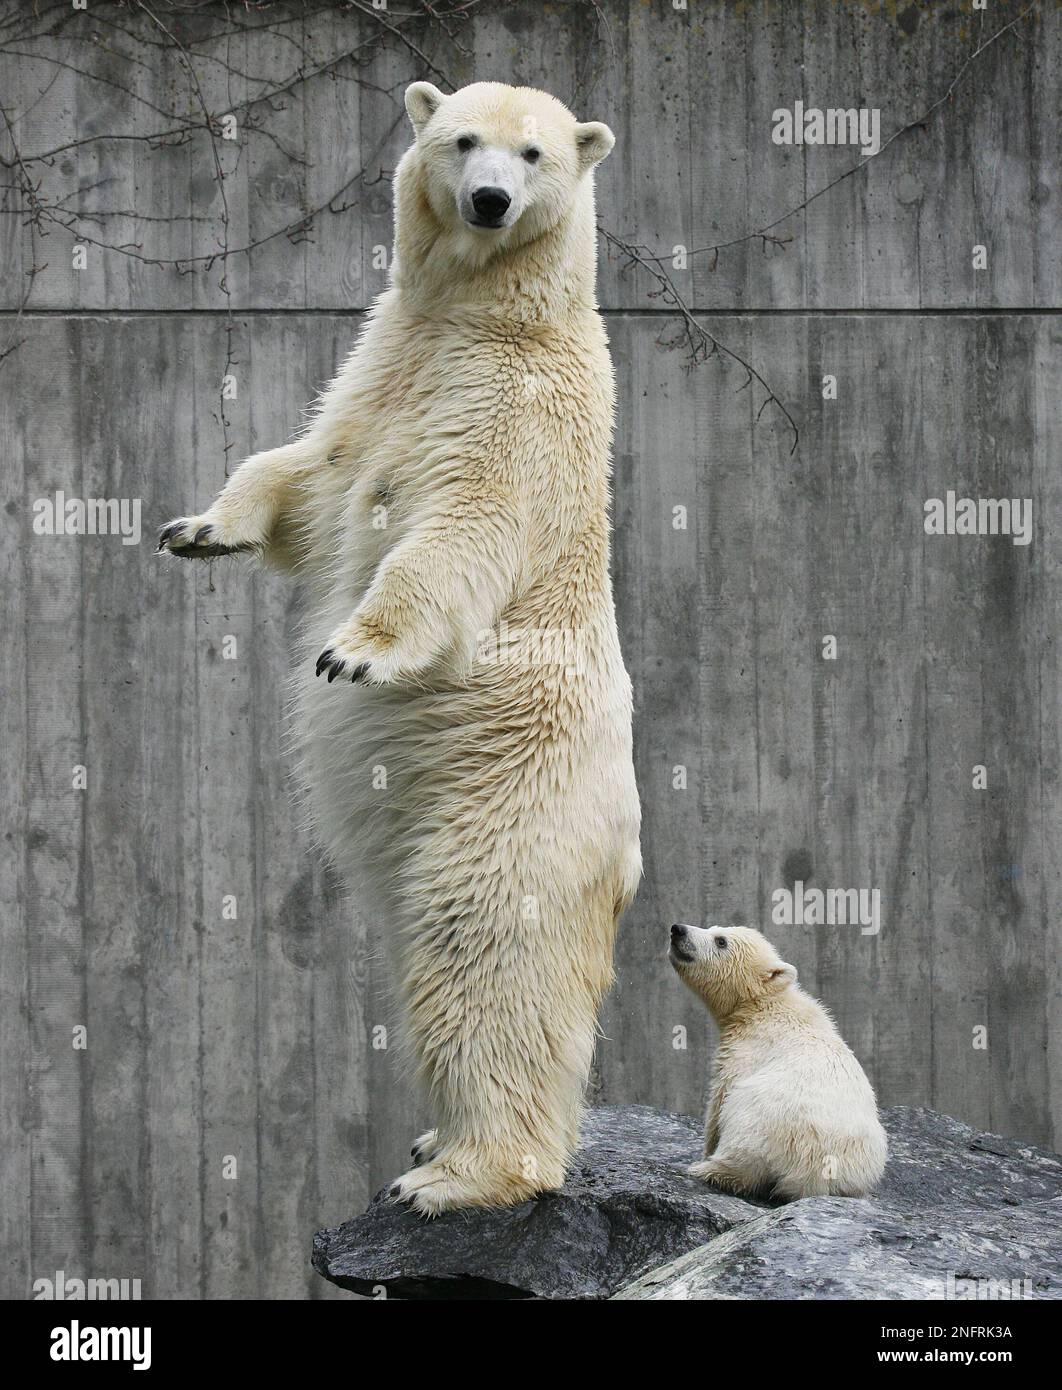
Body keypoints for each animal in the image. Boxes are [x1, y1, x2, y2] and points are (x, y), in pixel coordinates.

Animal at [159, 81, 642, 1215]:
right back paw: (435, 1141)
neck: (485, 316)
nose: (490, 200)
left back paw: (460, 1174)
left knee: (483, 952)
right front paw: (201, 527)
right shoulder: (383, 369)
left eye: (534, 152)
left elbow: (458, 529)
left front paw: (355, 651)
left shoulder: (518, 412)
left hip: (510, 799)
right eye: (461, 138)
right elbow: (305, 473)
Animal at [668, 923, 887, 1200]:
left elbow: (719, 1098)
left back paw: (707, 1170)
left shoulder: (747, 1049)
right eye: (714, 928)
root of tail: (816, 1173)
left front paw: (703, 1153)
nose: (678, 929)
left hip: (764, 1125)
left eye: (721, 941)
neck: (764, 1005)